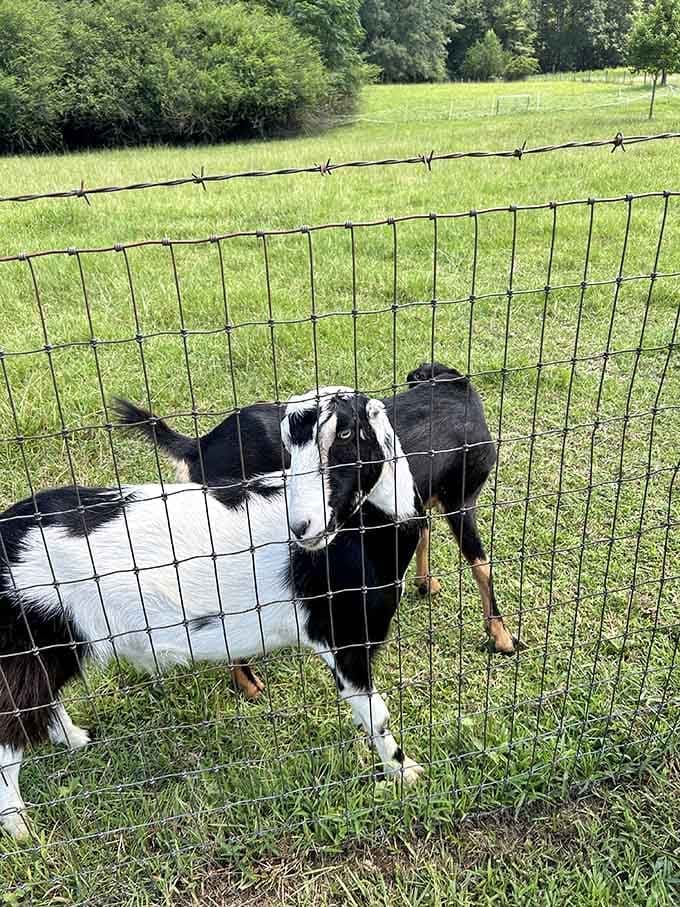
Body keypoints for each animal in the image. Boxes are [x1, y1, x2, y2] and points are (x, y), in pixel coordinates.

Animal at [0, 388, 423, 838]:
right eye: (289, 447)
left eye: (345, 433)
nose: (302, 527)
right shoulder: (343, 636)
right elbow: (376, 716)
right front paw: (406, 772)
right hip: (27, 642)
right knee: (9, 726)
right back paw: (20, 827)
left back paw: (77, 739)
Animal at [114, 362, 516, 684]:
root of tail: (199, 447)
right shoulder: (461, 498)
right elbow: (482, 564)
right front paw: (503, 637)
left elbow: (423, 534)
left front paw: (426, 583)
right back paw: (249, 684)